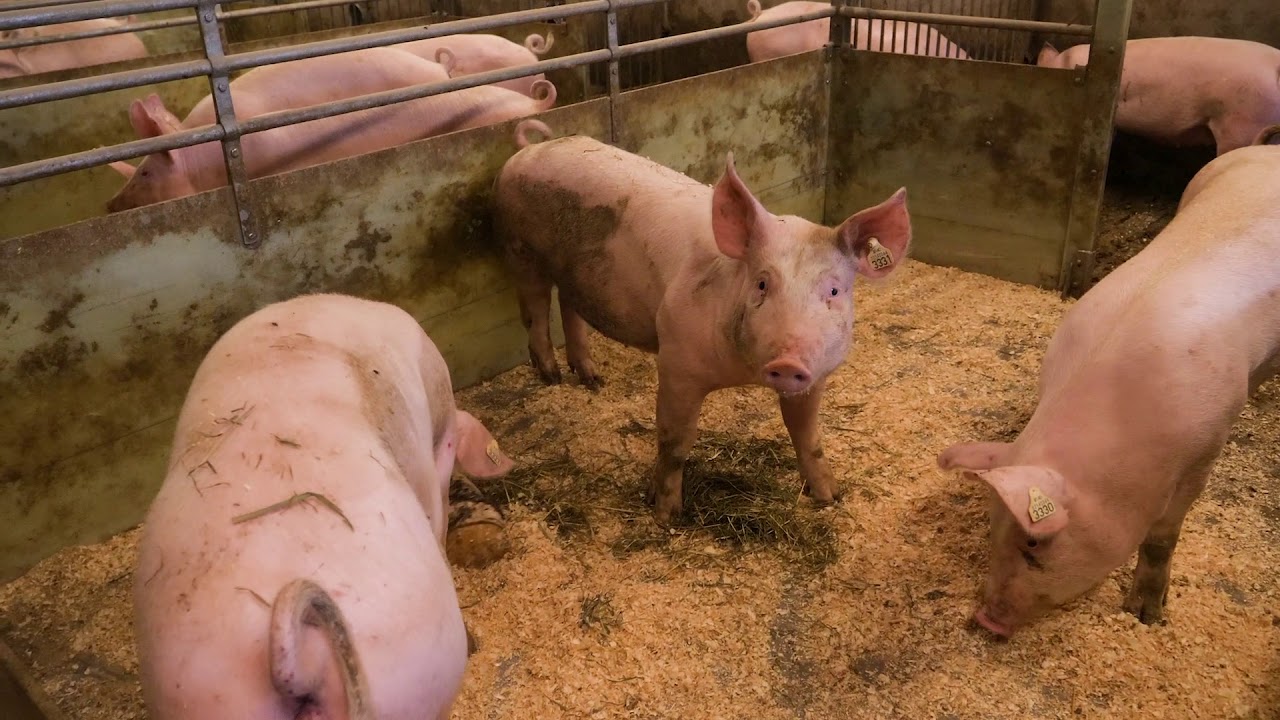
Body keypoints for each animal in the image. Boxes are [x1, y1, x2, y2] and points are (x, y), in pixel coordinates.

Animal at [493, 121, 912, 525]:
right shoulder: (677, 363)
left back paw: (592, 379)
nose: (787, 362)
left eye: (835, 290)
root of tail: (530, 149)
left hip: (576, 272)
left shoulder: (816, 376)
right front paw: (666, 516)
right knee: (535, 307)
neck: (744, 372)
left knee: (568, 305)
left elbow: (807, 436)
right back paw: (550, 376)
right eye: (762, 283)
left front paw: (830, 497)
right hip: (519, 247)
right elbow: (675, 442)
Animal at [937, 132, 1280, 638]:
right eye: (992, 527)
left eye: (1034, 545)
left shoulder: (1203, 451)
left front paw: (1146, 616)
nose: (985, 619)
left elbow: (1162, 539)